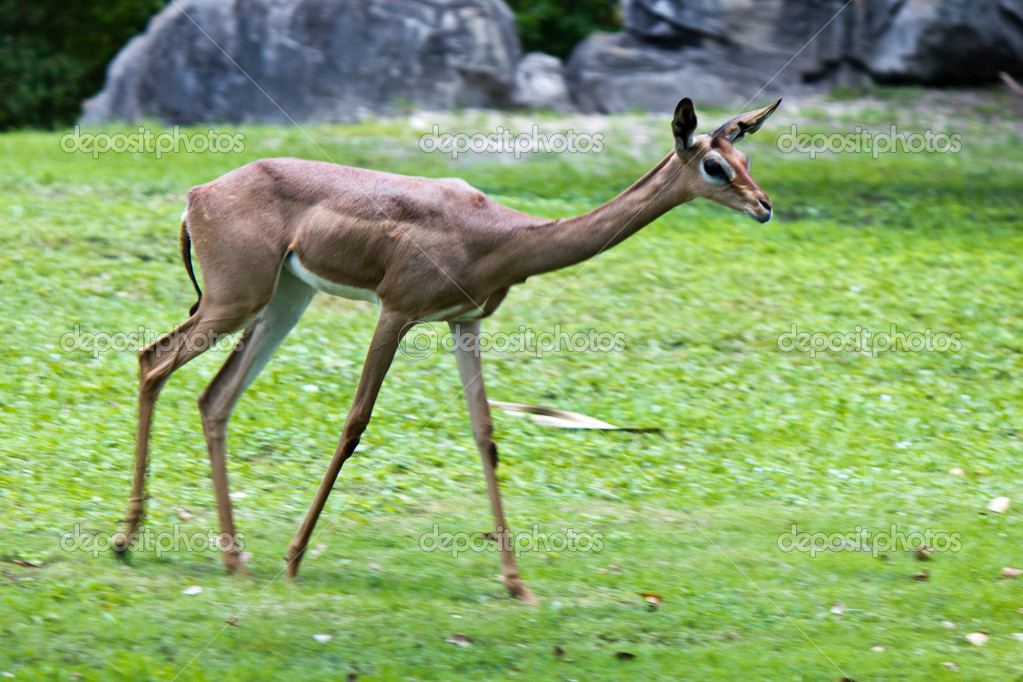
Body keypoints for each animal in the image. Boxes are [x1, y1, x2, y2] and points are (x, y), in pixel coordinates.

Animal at [115, 97, 781, 603]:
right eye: (714, 165)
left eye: (746, 157)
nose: (764, 205)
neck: (497, 237)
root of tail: (200, 192)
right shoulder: (396, 312)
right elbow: (355, 423)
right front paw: (295, 558)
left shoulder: (464, 324)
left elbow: (485, 434)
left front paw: (518, 585)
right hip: (234, 302)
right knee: (152, 361)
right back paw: (128, 541)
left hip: (282, 304)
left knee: (214, 399)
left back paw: (232, 559)